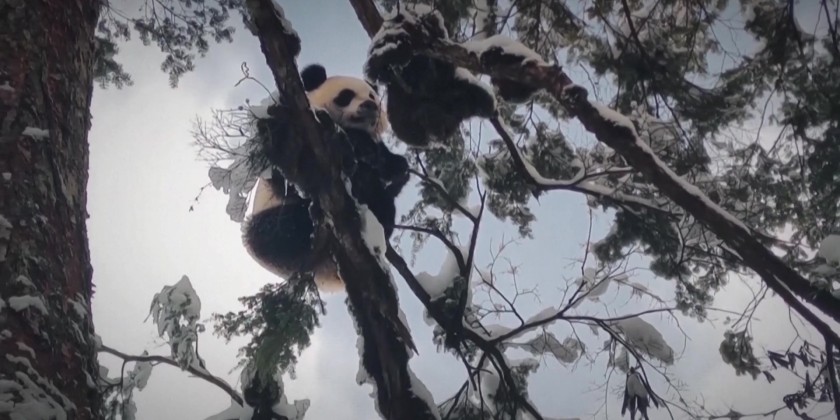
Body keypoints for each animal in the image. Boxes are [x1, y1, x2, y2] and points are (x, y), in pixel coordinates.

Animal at [243, 64, 410, 292]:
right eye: (346, 95)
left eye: (372, 96)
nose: (370, 105)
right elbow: (288, 173)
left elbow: (385, 163)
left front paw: (394, 166)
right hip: (274, 228)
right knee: (277, 230)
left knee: (384, 205)